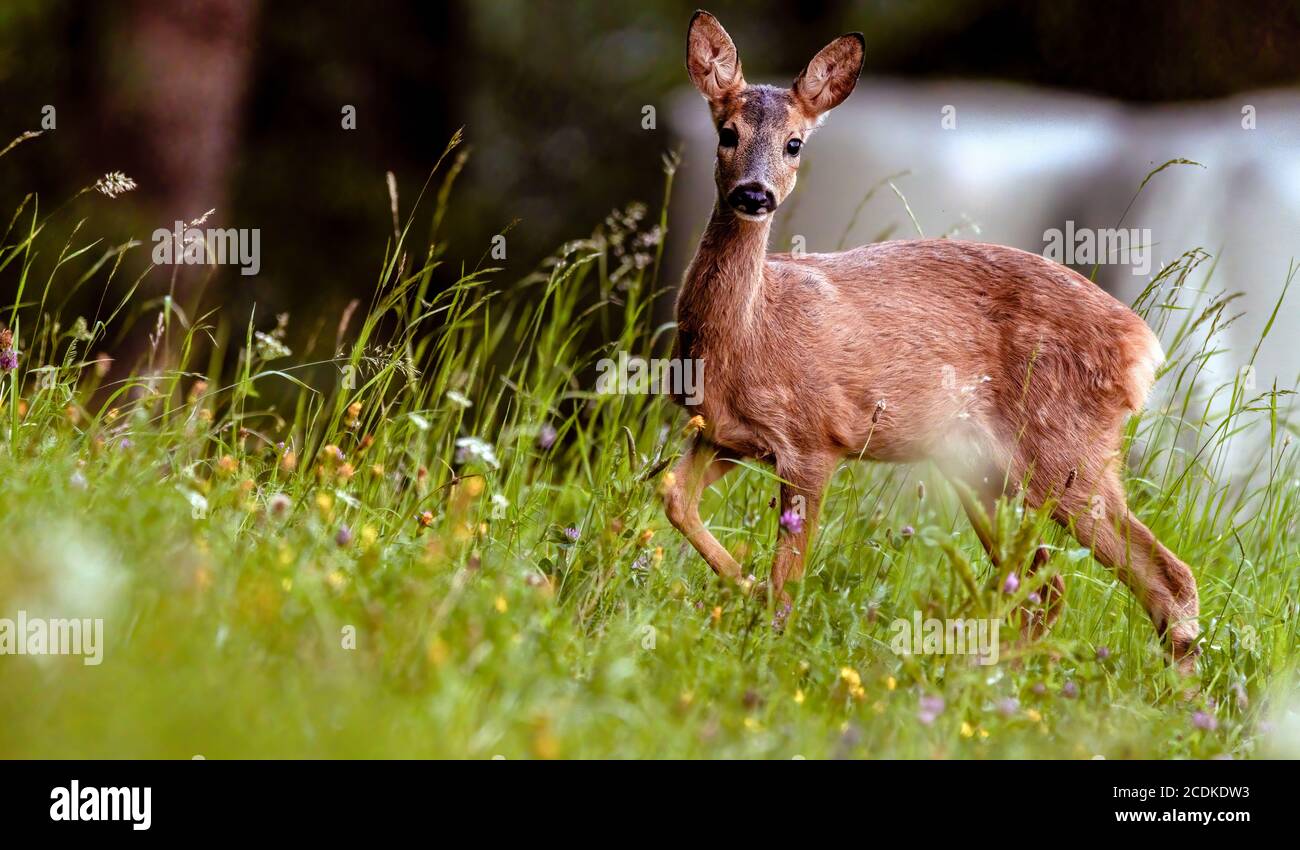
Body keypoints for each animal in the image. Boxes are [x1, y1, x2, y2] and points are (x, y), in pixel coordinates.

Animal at [662, 10, 1200, 674]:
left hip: (1065, 450)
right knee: (1046, 585)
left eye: (795, 144)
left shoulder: (814, 440)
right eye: (727, 132)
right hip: (984, 471)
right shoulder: (723, 434)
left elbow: (789, 576)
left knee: (1165, 577)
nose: (754, 195)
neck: (746, 337)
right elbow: (673, 498)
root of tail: (1143, 346)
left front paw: (768, 636)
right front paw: (743, 587)